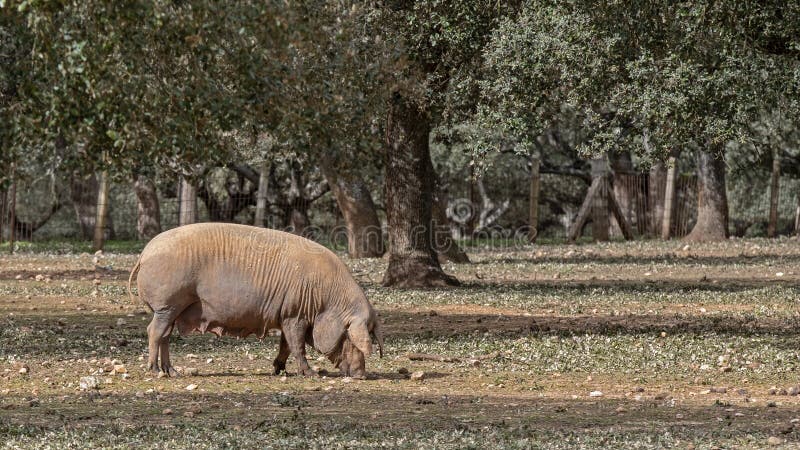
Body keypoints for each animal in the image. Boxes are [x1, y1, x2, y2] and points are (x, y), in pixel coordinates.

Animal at [127, 223, 383, 379]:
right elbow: (297, 345)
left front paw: (278, 370)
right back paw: (155, 371)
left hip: (174, 309)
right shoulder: (295, 315)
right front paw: (310, 373)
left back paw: (172, 372)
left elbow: (285, 345)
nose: (362, 375)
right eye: (351, 336)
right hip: (168, 304)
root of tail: (145, 252)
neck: (326, 302)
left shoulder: (286, 315)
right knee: (154, 331)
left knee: (165, 336)